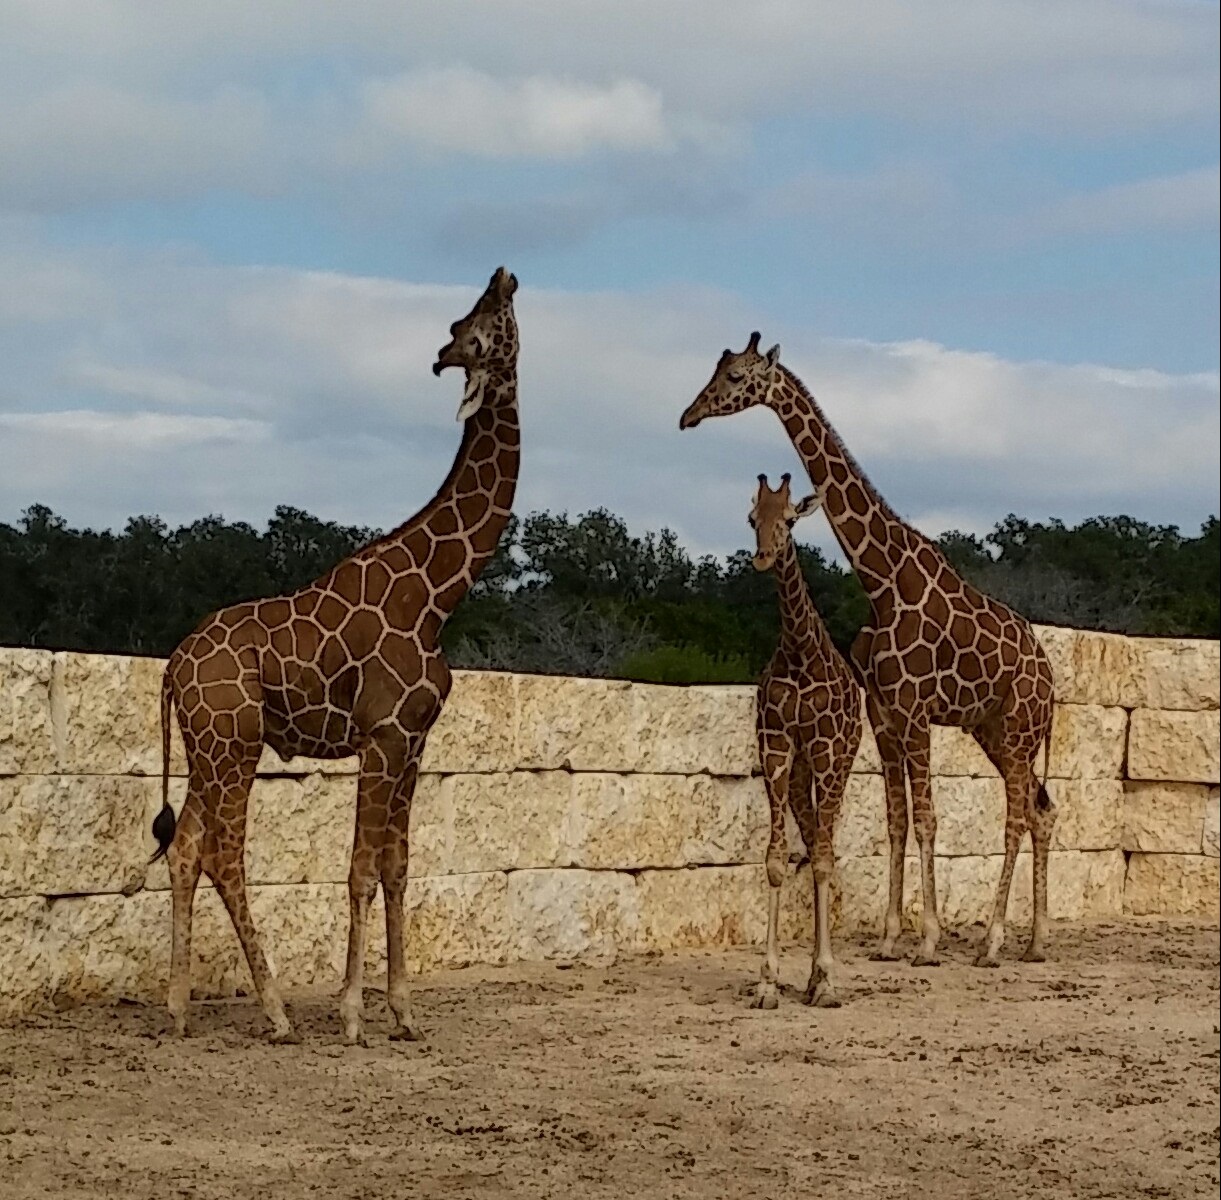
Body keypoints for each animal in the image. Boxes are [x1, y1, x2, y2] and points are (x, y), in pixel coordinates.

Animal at [149, 266, 521, 1045]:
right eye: (472, 322)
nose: (505, 275)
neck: (438, 594)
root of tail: (172, 668)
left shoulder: (414, 742)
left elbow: (398, 867)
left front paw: (403, 1011)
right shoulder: (381, 736)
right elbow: (359, 869)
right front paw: (352, 1014)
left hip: (208, 746)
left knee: (188, 844)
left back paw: (178, 1009)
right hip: (235, 744)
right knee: (224, 852)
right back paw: (277, 1012)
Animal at [680, 334, 1056, 968]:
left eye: (734, 377)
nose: (688, 416)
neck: (881, 580)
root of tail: (1054, 681)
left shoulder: (917, 711)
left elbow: (927, 820)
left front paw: (927, 941)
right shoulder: (885, 713)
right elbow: (897, 821)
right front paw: (888, 938)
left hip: (1021, 729)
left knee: (1017, 814)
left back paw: (993, 941)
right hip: (996, 731)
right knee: (1041, 811)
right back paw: (1033, 940)